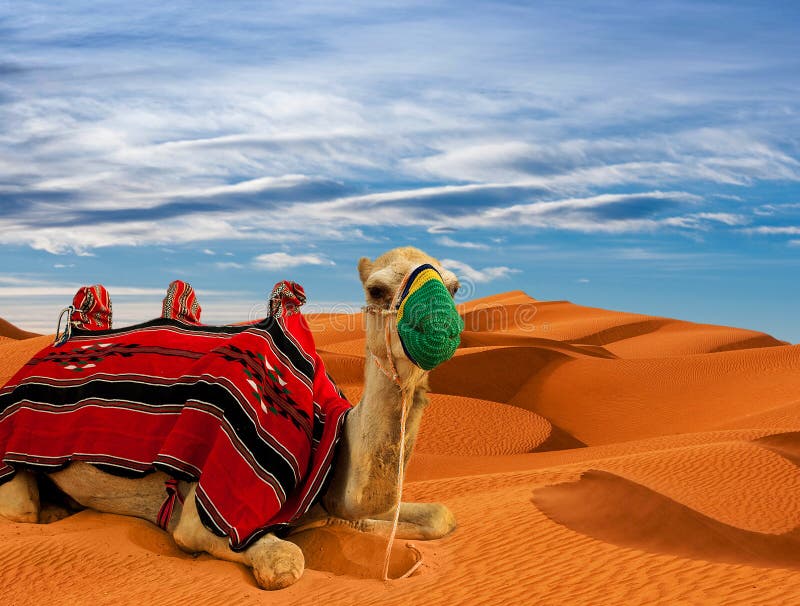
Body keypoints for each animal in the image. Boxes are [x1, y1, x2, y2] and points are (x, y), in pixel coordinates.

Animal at [0, 246, 462, 590]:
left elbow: (441, 517)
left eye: (454, 287)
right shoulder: (208, 509)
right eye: (376, 290)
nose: (441, 323)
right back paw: (51, 512)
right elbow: (285, 562)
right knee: (22, 508)